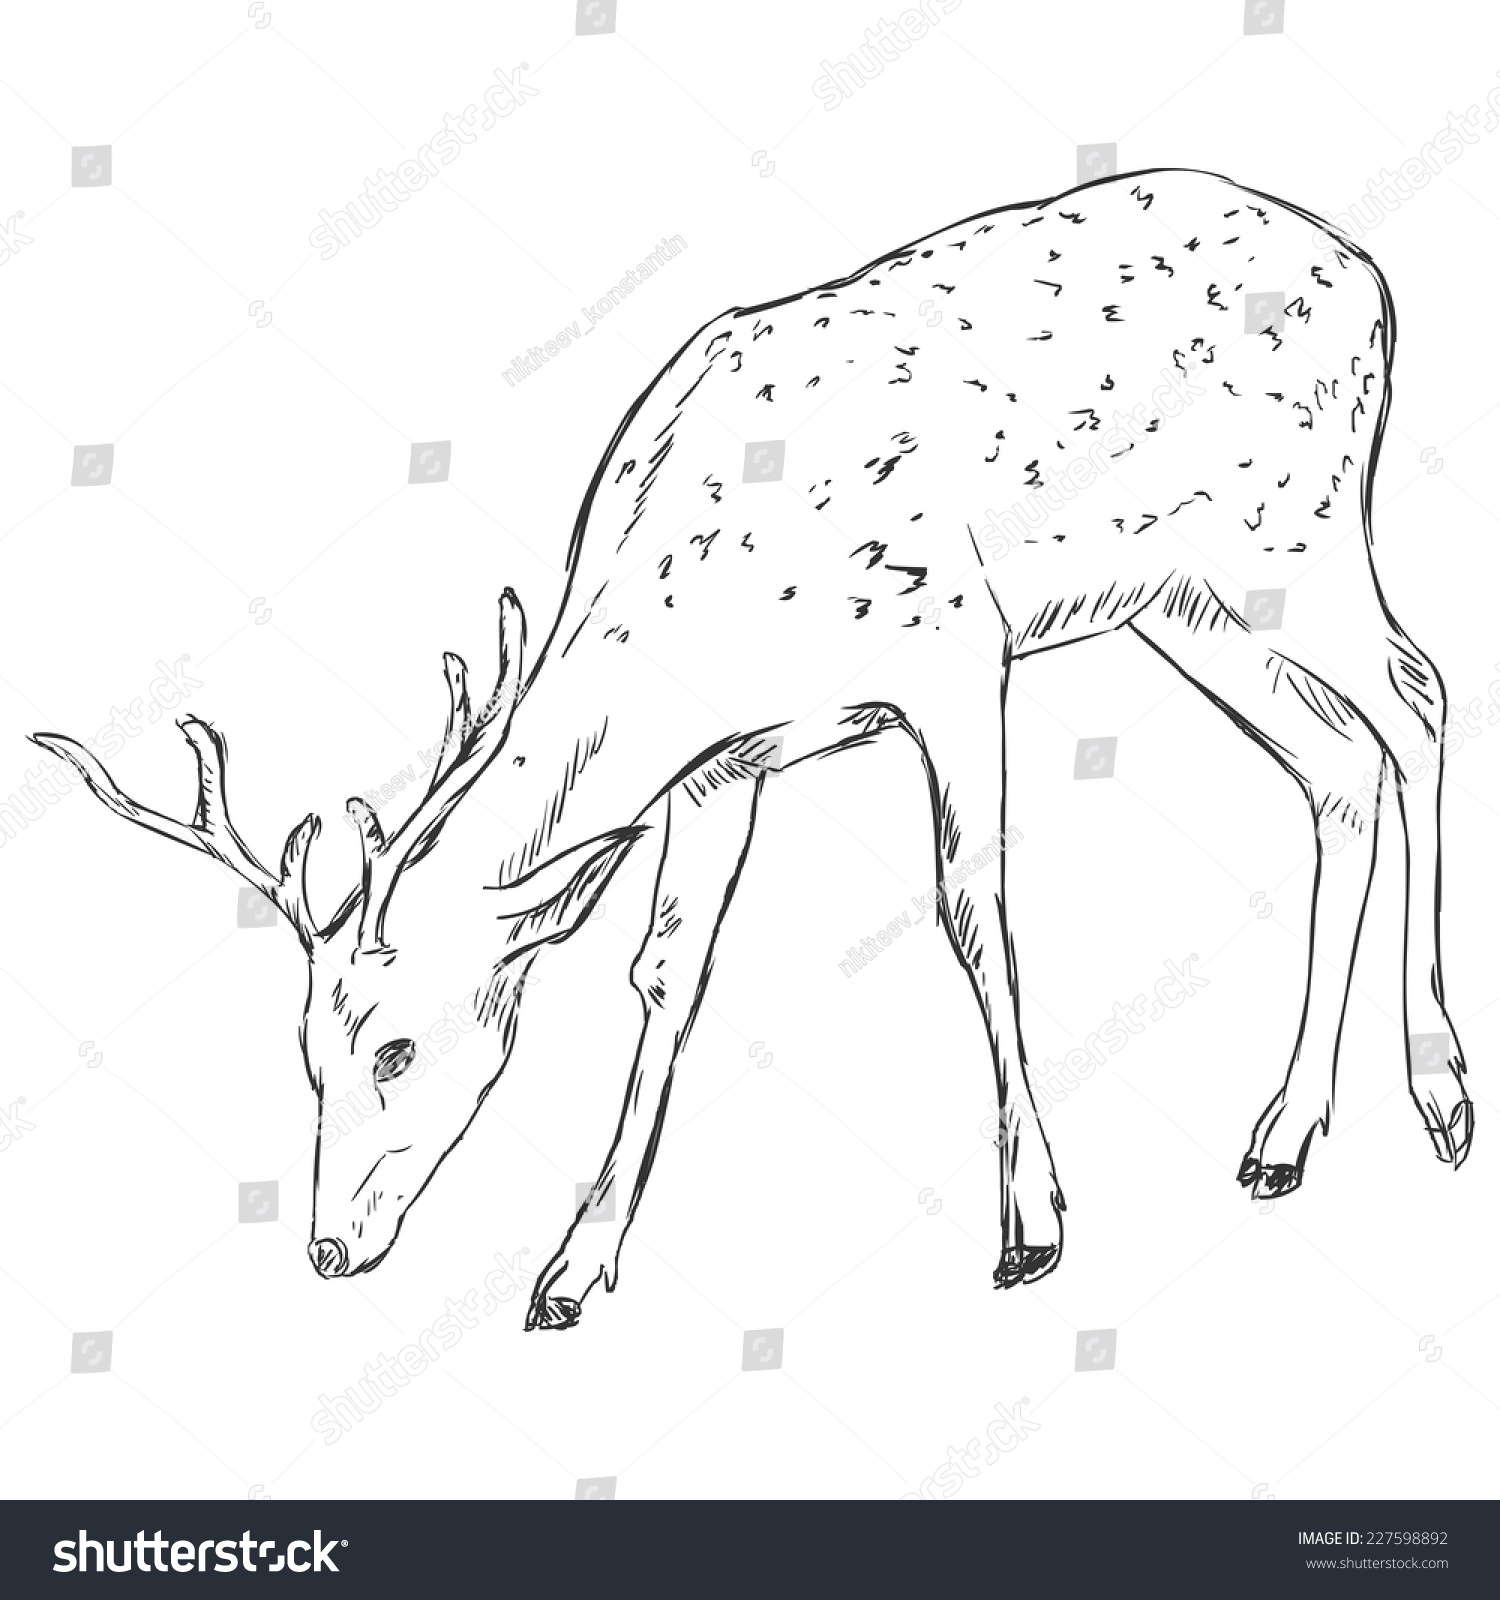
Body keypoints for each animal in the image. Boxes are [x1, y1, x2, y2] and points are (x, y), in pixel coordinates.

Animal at [34, 168, 1471, 1332]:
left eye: (392, 1048)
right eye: (300, 1049)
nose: (331, 1249)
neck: (711, 605)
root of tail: (1373, 278)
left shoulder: (958, 650)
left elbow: (977, 913)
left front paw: (1034, 1224)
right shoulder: (722, 768)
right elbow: (666, 972)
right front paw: (573, 1268)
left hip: (1299, 528)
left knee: (1420, 697)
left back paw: (1442, 1090)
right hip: (1188, 599)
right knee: (1337, 766)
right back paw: (1284, 1132)